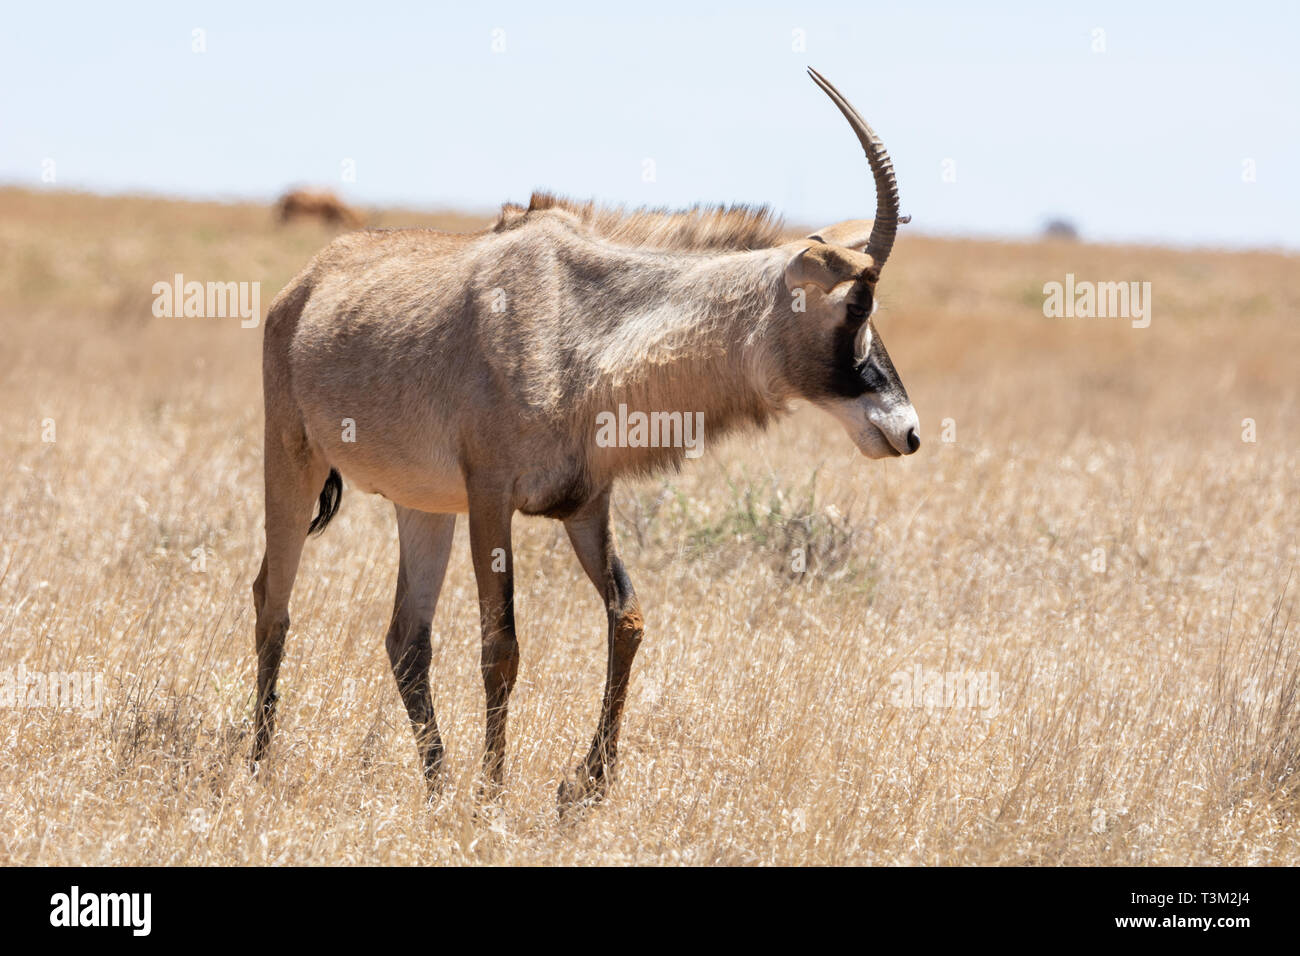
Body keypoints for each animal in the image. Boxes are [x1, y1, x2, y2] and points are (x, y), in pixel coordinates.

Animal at [250, 69, 920, 810]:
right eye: (855, 304)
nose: (907, 430)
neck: (577, 320)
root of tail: (303, 287)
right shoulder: (491, 499)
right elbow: (501, 646)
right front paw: (493, 794)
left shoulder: (586, 506)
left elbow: (627, 619)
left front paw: (585, 782)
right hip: (293, 462)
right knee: (272, 603)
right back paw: (259, 764)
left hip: (423, 507)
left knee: (406, 640)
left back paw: (437, 784)